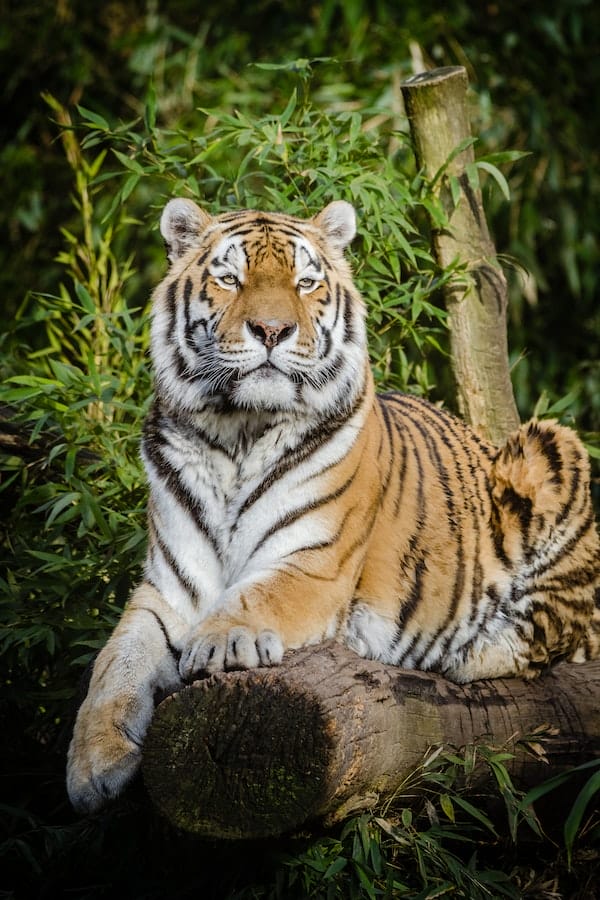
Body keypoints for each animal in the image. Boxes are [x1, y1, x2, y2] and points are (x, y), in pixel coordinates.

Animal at [66, 197, 600, 814]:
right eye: (230, 279)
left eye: (305, 282)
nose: (272, 330)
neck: (236, 434)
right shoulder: (168, 589)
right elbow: (114, 663)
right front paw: (93, 764)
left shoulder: (313, 564)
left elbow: (255, 595)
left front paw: (219, 643)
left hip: (550, 448)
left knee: (550, 636)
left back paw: (468, 653)